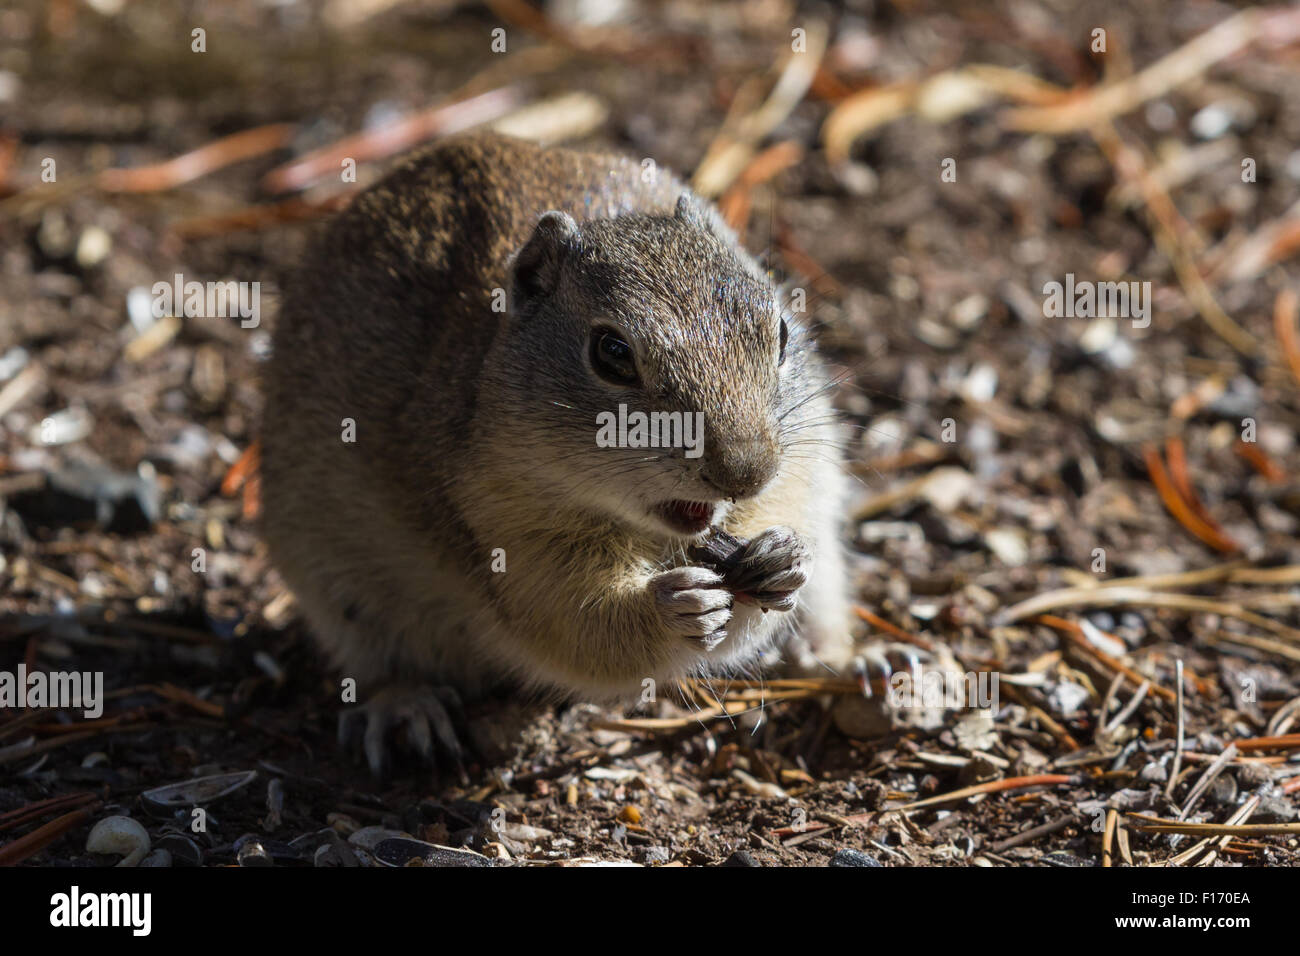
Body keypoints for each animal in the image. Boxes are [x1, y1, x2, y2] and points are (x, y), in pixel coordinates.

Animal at [259, 132, 853, 775]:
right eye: (612, 352)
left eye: (782, 334)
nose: (747, 473)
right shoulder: (508, 539)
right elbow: (580, 628)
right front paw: (679, 608)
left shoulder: (796, 475)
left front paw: (781, 557)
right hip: (335, 585)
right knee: (378, 663)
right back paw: (406, 707)